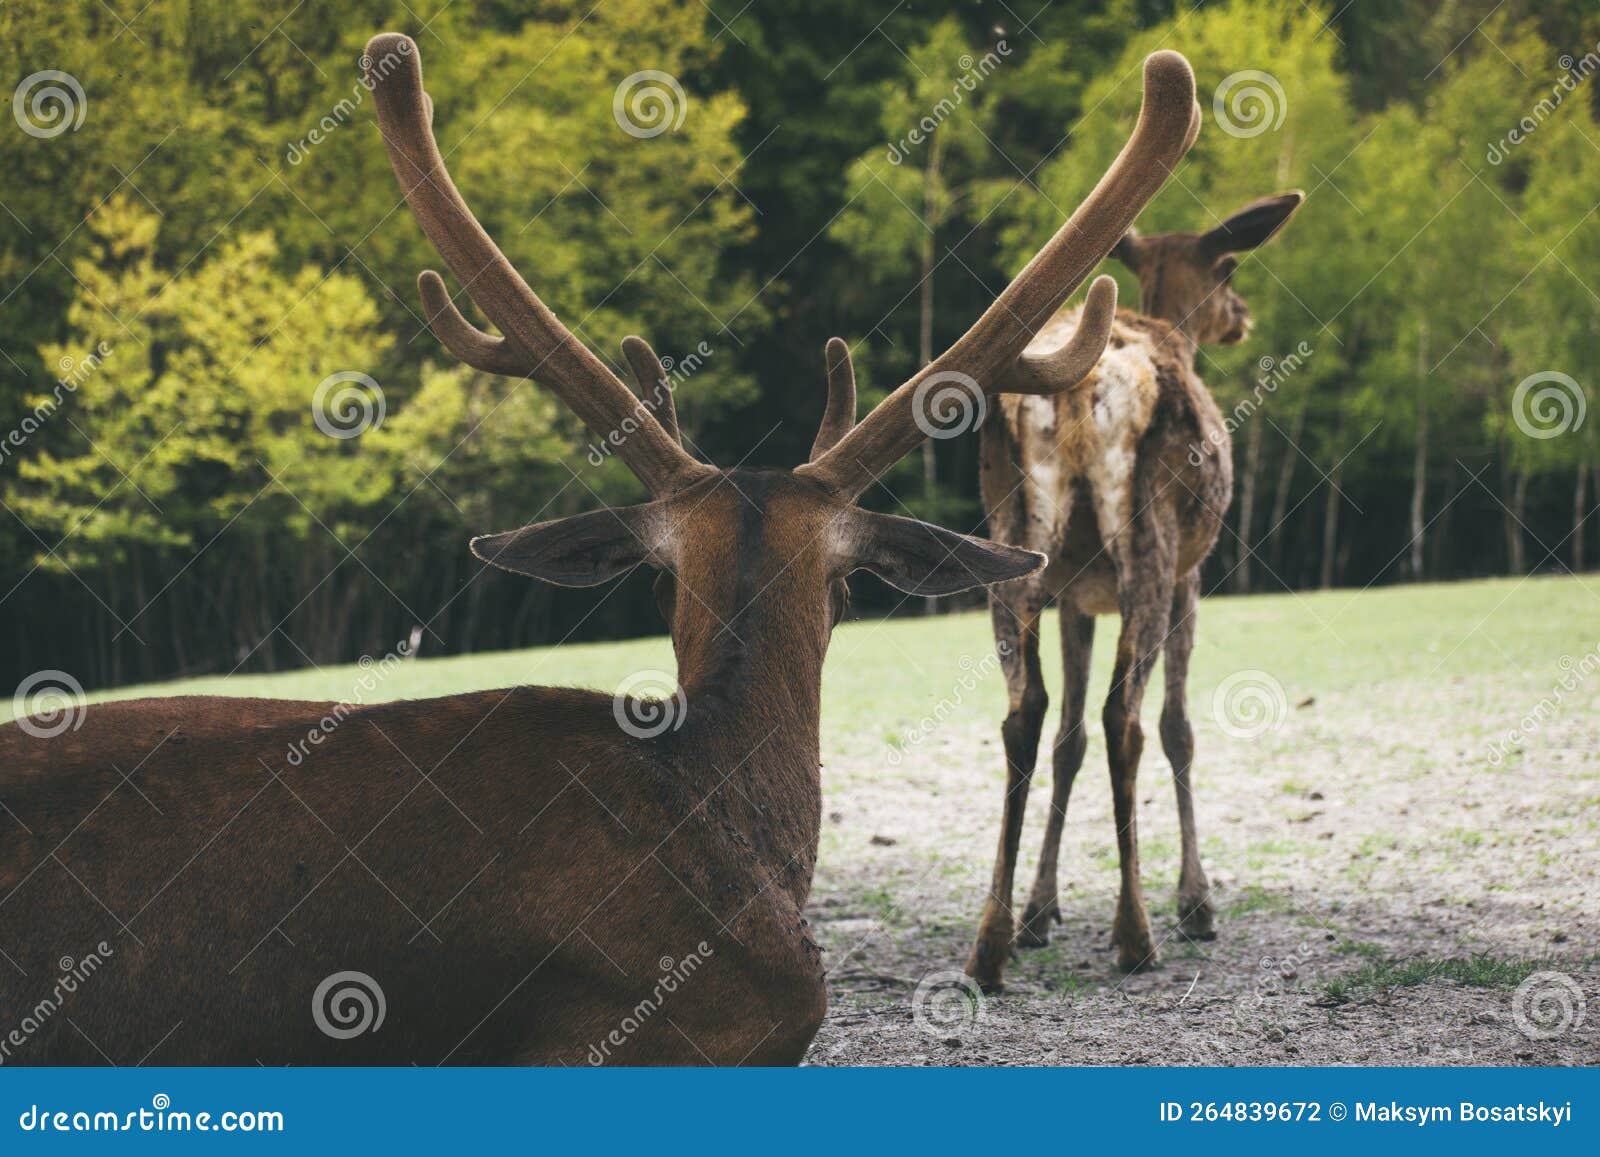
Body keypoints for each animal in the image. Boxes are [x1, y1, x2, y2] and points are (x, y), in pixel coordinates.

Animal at [962, 187, 1303, 990]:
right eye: (1229, 265)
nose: (1241, 314)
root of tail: (1079, 386)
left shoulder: (1076, 597)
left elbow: (1068, 738)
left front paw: (1040, 910)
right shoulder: (1191, 579)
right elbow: (1179, 726)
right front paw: (1197, 902)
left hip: (1014, 540)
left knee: (1025, 711)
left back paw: (990, 943)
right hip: (1153, 538)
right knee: (1127, 715)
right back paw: (1136, 930)